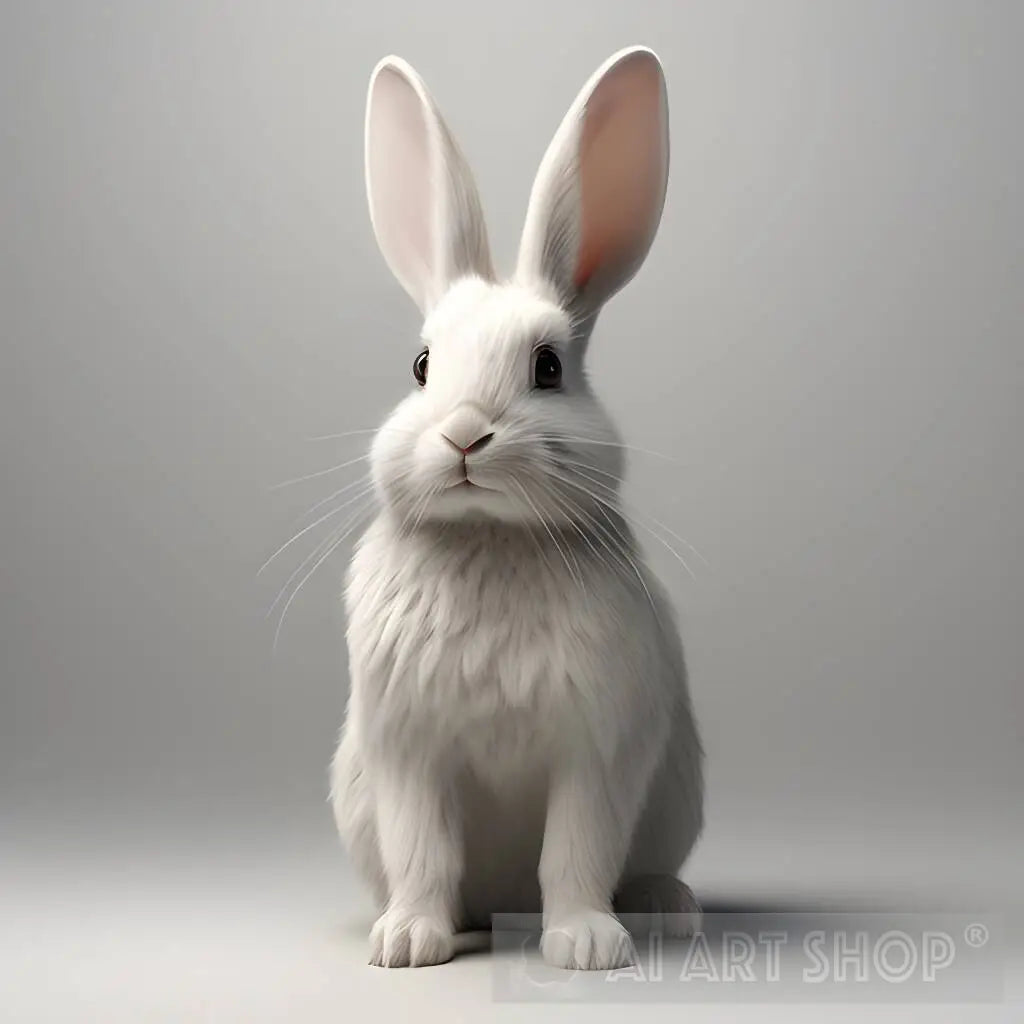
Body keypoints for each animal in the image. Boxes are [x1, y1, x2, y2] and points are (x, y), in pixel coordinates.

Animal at [330, 46, 703, 971]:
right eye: (421, 366)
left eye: (547, 368)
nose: (466, 434)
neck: (491, 540)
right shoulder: (408, 751)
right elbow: (423, 850)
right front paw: (408, 943)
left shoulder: (597, 750)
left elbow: (576, 852)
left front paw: (586, 946)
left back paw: (667, 908)